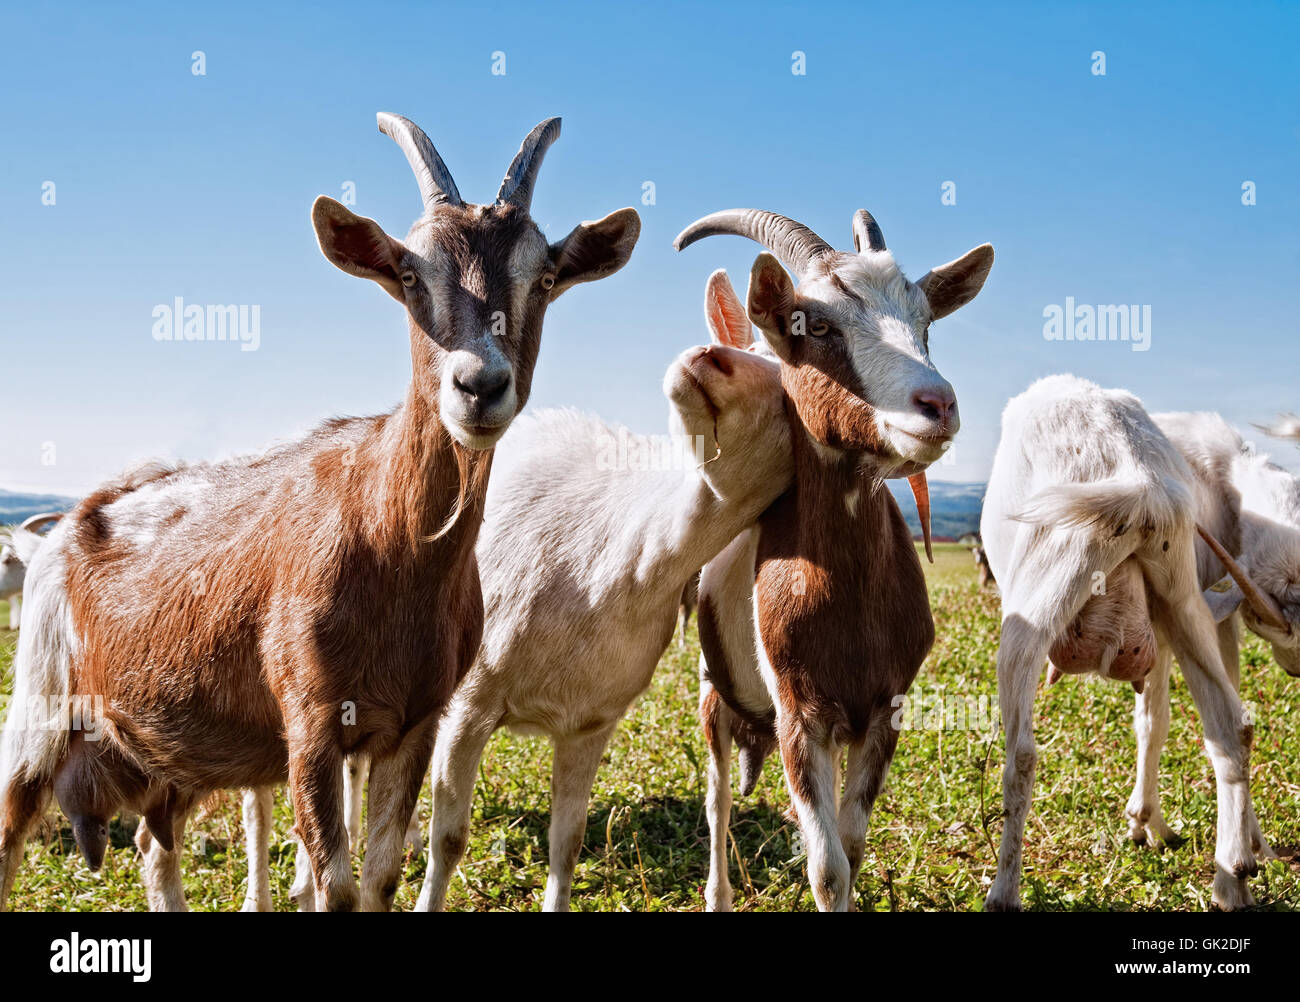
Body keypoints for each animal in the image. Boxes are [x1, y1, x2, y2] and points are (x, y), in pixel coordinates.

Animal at [0, 113, 640, 912]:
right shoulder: (308, 722)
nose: (479, 386)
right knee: (12, 826)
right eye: (410, 275)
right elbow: (334, 886)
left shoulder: (415, 723)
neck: (388, 541)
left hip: (174, 743)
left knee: (153, 843)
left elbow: (381, 873)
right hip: (40, 697)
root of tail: (79, 518)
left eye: (545, 278)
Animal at [676, 208, 994, 910]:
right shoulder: (801, 715)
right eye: (817, 326)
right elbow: (827, 867)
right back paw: (717, 892)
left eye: (925, 324)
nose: (938, 405)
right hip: (714, 691)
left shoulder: (884, 709)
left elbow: (850, 844)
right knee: (717, 801)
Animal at [980, 375, 1259, 911]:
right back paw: (1232, 879)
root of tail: (1138, 480)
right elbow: (1155, 721)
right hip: (1180, 591)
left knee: (1021, 756)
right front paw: (1153, 828)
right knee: (1229, 725)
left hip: (1044, 591)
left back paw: (1003, 892)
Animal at [1121, 410, 1299, 853]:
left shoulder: (1216, 621)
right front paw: (1145, 821)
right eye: (1263, 622)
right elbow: (1156, 720)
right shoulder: (1171, 620)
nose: (1295, 671)